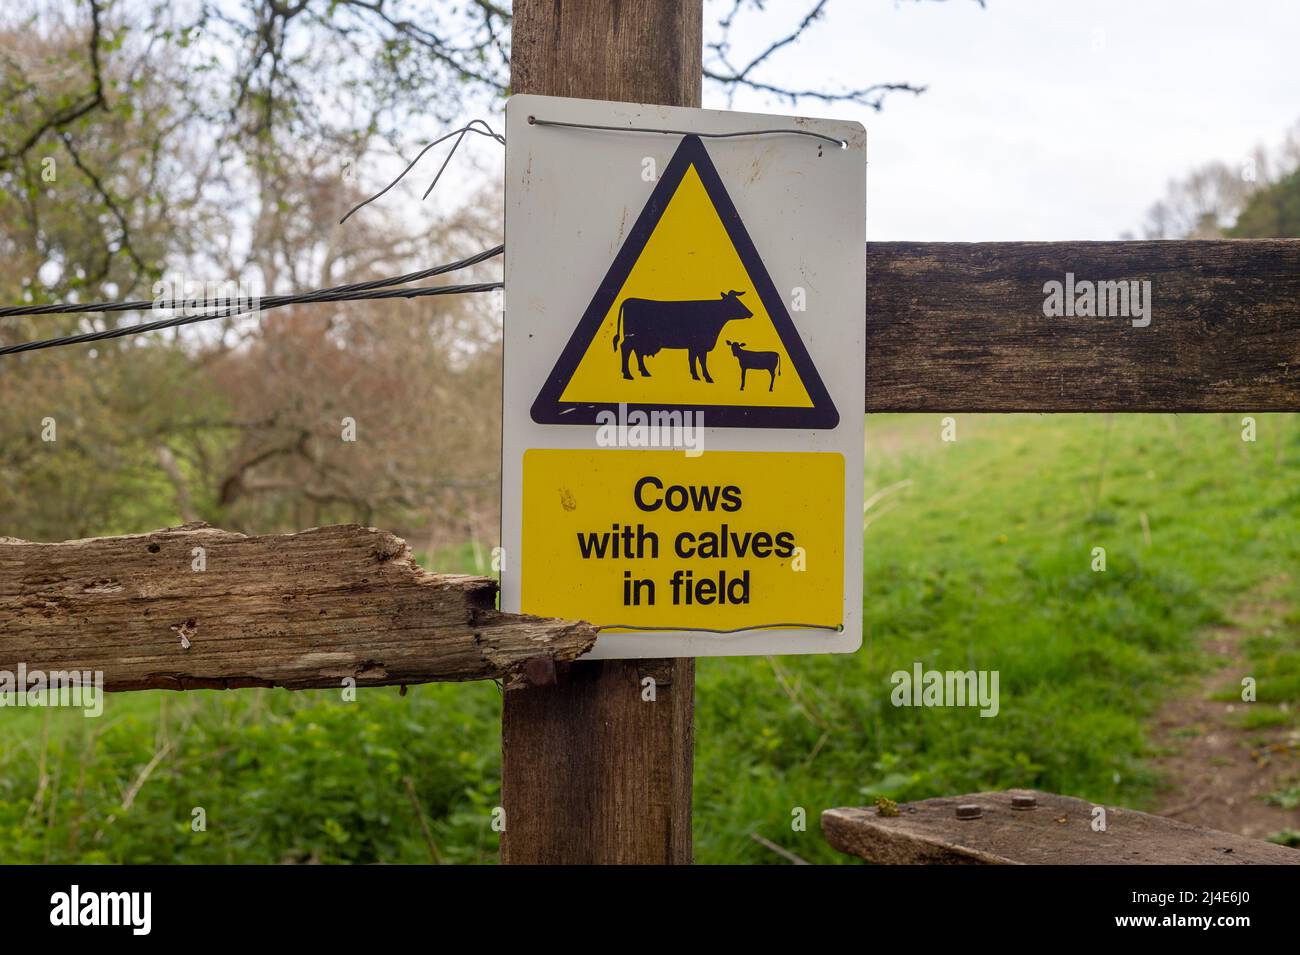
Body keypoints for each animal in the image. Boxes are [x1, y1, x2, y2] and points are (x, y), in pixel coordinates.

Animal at [612, 290, 752, 382]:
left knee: (637, 352)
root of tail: (629, 300)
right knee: (626, 349)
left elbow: (694, 360)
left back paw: (644, 372)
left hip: (639, 340)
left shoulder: (696, 346)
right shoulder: (699, 345)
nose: (750, 313)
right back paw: (627, 374)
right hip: (631, 338)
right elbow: (700, 361)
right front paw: (706, 377)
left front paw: (696, 376)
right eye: (735, 302)